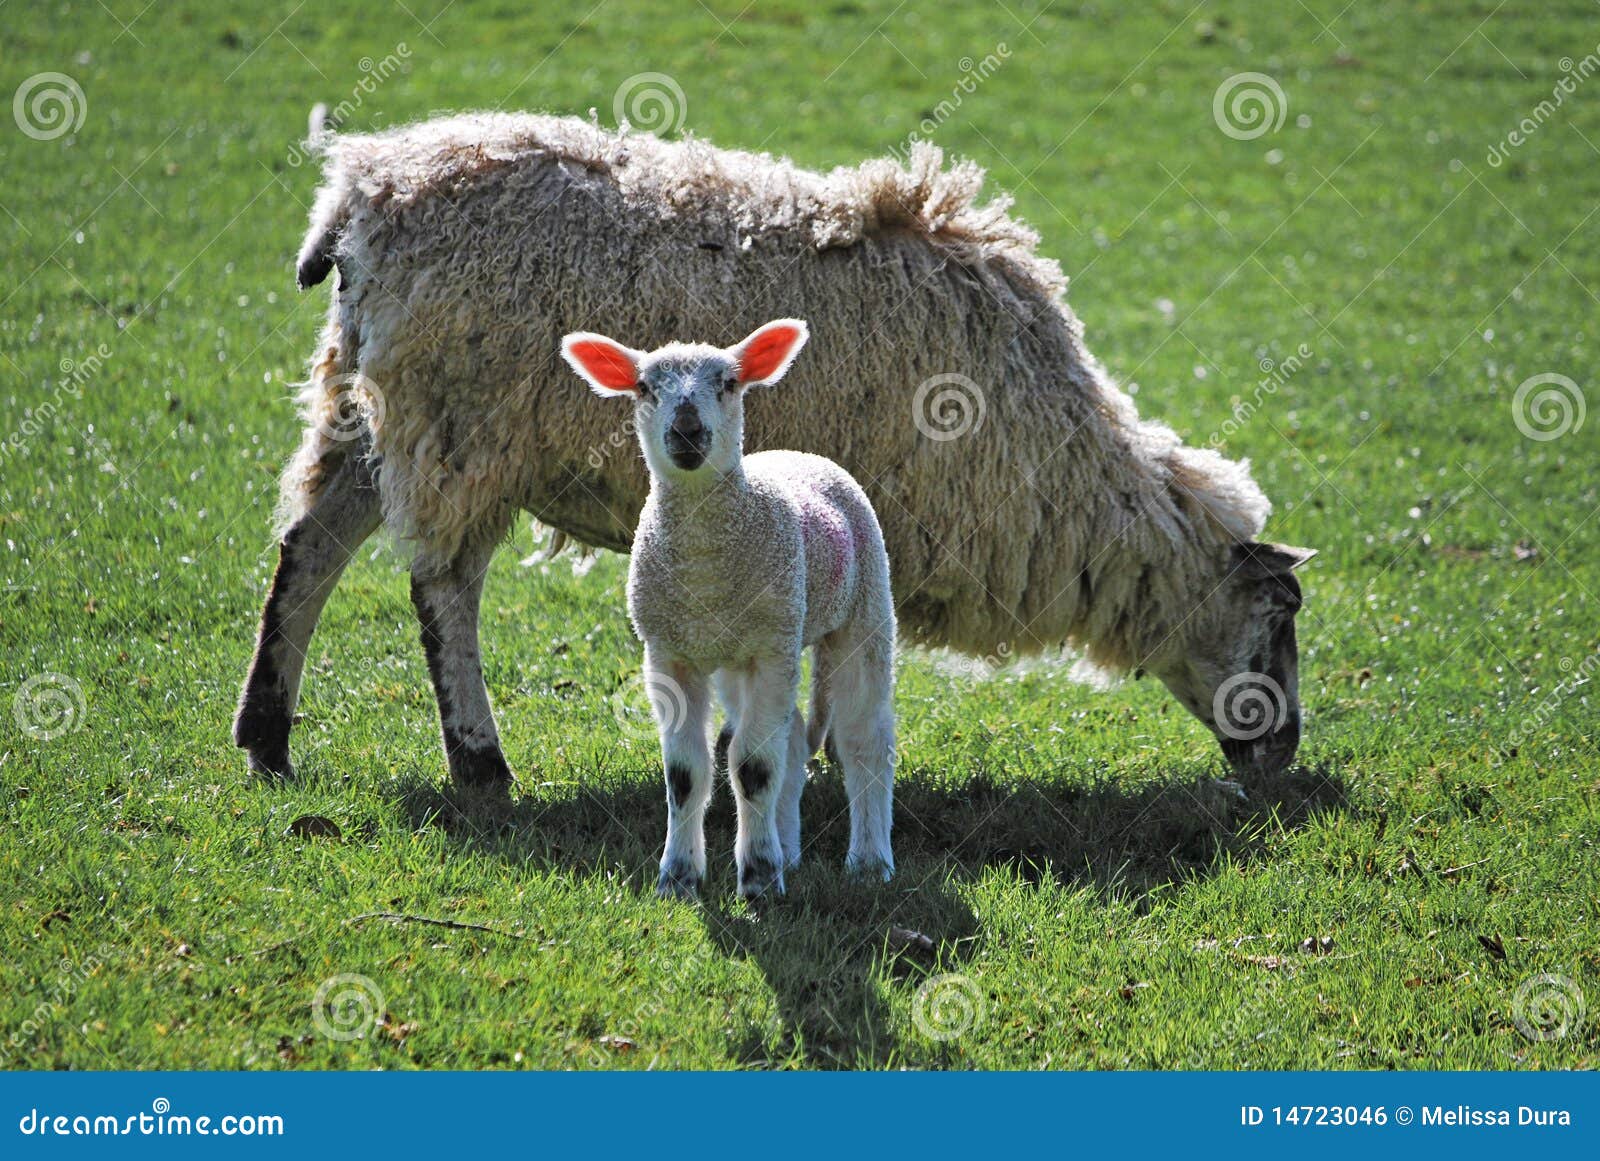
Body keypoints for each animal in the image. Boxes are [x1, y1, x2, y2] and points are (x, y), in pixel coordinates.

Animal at [234, 112, 1315, 791]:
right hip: (459, 423)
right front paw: (811, 758)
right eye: (1281, 617)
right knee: (442, 587)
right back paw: (478, 761)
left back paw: (267, 737)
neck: (1062, 479)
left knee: (310, 546)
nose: (1286, 760)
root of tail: (361, 188)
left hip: (365, 403)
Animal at [559, 319, 895, 898]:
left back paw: (870, 861)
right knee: (792, 739)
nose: (687, 430)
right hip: (746, 651)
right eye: (644, 388)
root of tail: (796, 454)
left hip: (863, 607)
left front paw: (758, 879)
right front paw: (678, 878)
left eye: (729, 384)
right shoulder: (670, 653)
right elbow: (686, 773)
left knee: (863, 739)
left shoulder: (770, 646)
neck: (706, 570)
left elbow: (753, 769)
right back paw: (789, 849)